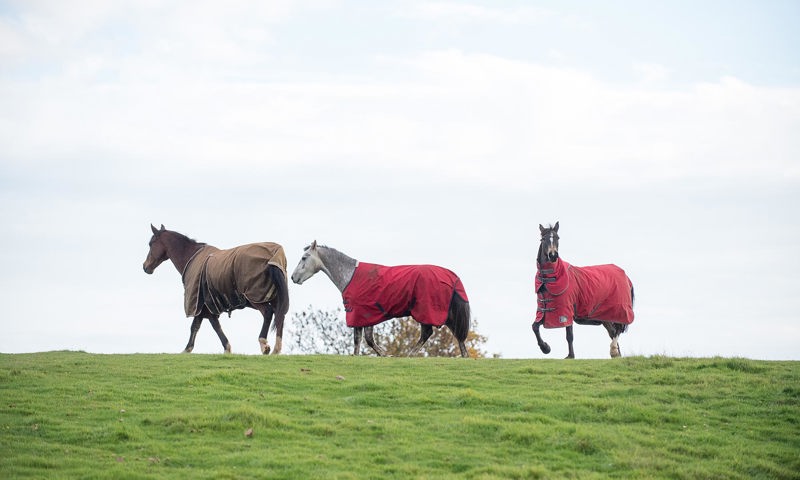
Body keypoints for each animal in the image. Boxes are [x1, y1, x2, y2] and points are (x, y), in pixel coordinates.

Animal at [142, 224, 289, 355]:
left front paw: (226, 348)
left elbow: (212, 326)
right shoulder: (203, 306)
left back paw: (264, 344)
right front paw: (188, 349)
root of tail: (273, 255)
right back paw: (276, 349)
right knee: (280, 316)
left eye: (151, 243)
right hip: (274, 297)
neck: (191, 256)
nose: (145, 266)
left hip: (255, 297)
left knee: (268, 313)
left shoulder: (203, 305)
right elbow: (197, 326)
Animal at [290, 241, 471, 357]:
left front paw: (385, 355)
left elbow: (365, 340)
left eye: (304, 257)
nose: (293, 277)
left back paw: (409, 355)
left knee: (430, 333)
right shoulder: (362, 316)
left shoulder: (363, 313)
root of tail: (451, 276)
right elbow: (361, 341)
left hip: (428, 311)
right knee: (456, 335)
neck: (351, 276)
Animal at [531, 222, 635, 359]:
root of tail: (626, 277)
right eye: (543, 239)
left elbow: (569, 335)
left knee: (617, 330)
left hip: (618, 312)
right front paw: (546, 348)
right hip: (605, 316)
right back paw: (616, 354)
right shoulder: (544, 311)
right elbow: (535, 327)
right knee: (613, 332)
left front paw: (570, 355)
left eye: (557, 238)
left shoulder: (566, 310)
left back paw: (613, 350)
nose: (553, 255)